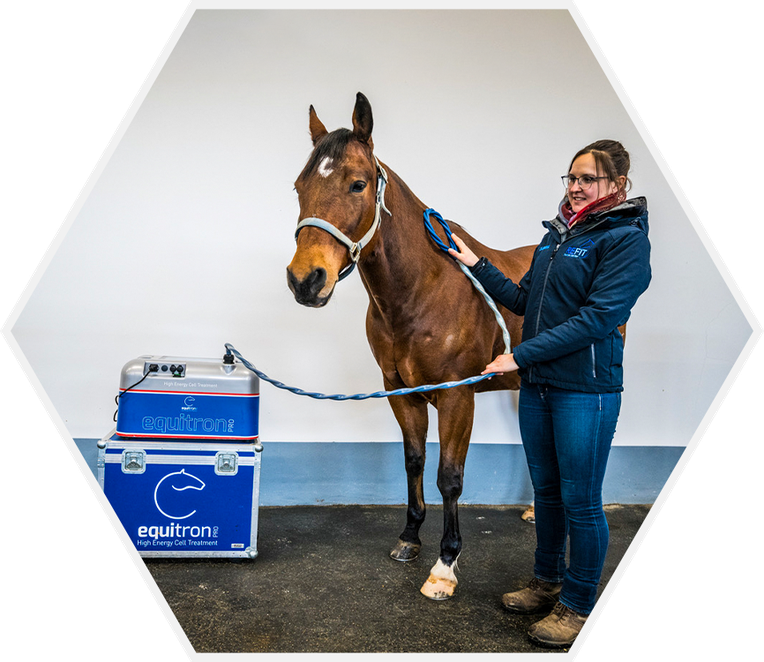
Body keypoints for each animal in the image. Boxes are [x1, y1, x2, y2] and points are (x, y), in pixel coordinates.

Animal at [286, 92, 536, 600]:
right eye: (299, 187)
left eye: (358, 184)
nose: (306, 280)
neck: (423, 290)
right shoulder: (401, 391)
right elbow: (414, 461)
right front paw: (409, 538)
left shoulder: (458, 395)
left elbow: (450, 478)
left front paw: (445, 565)